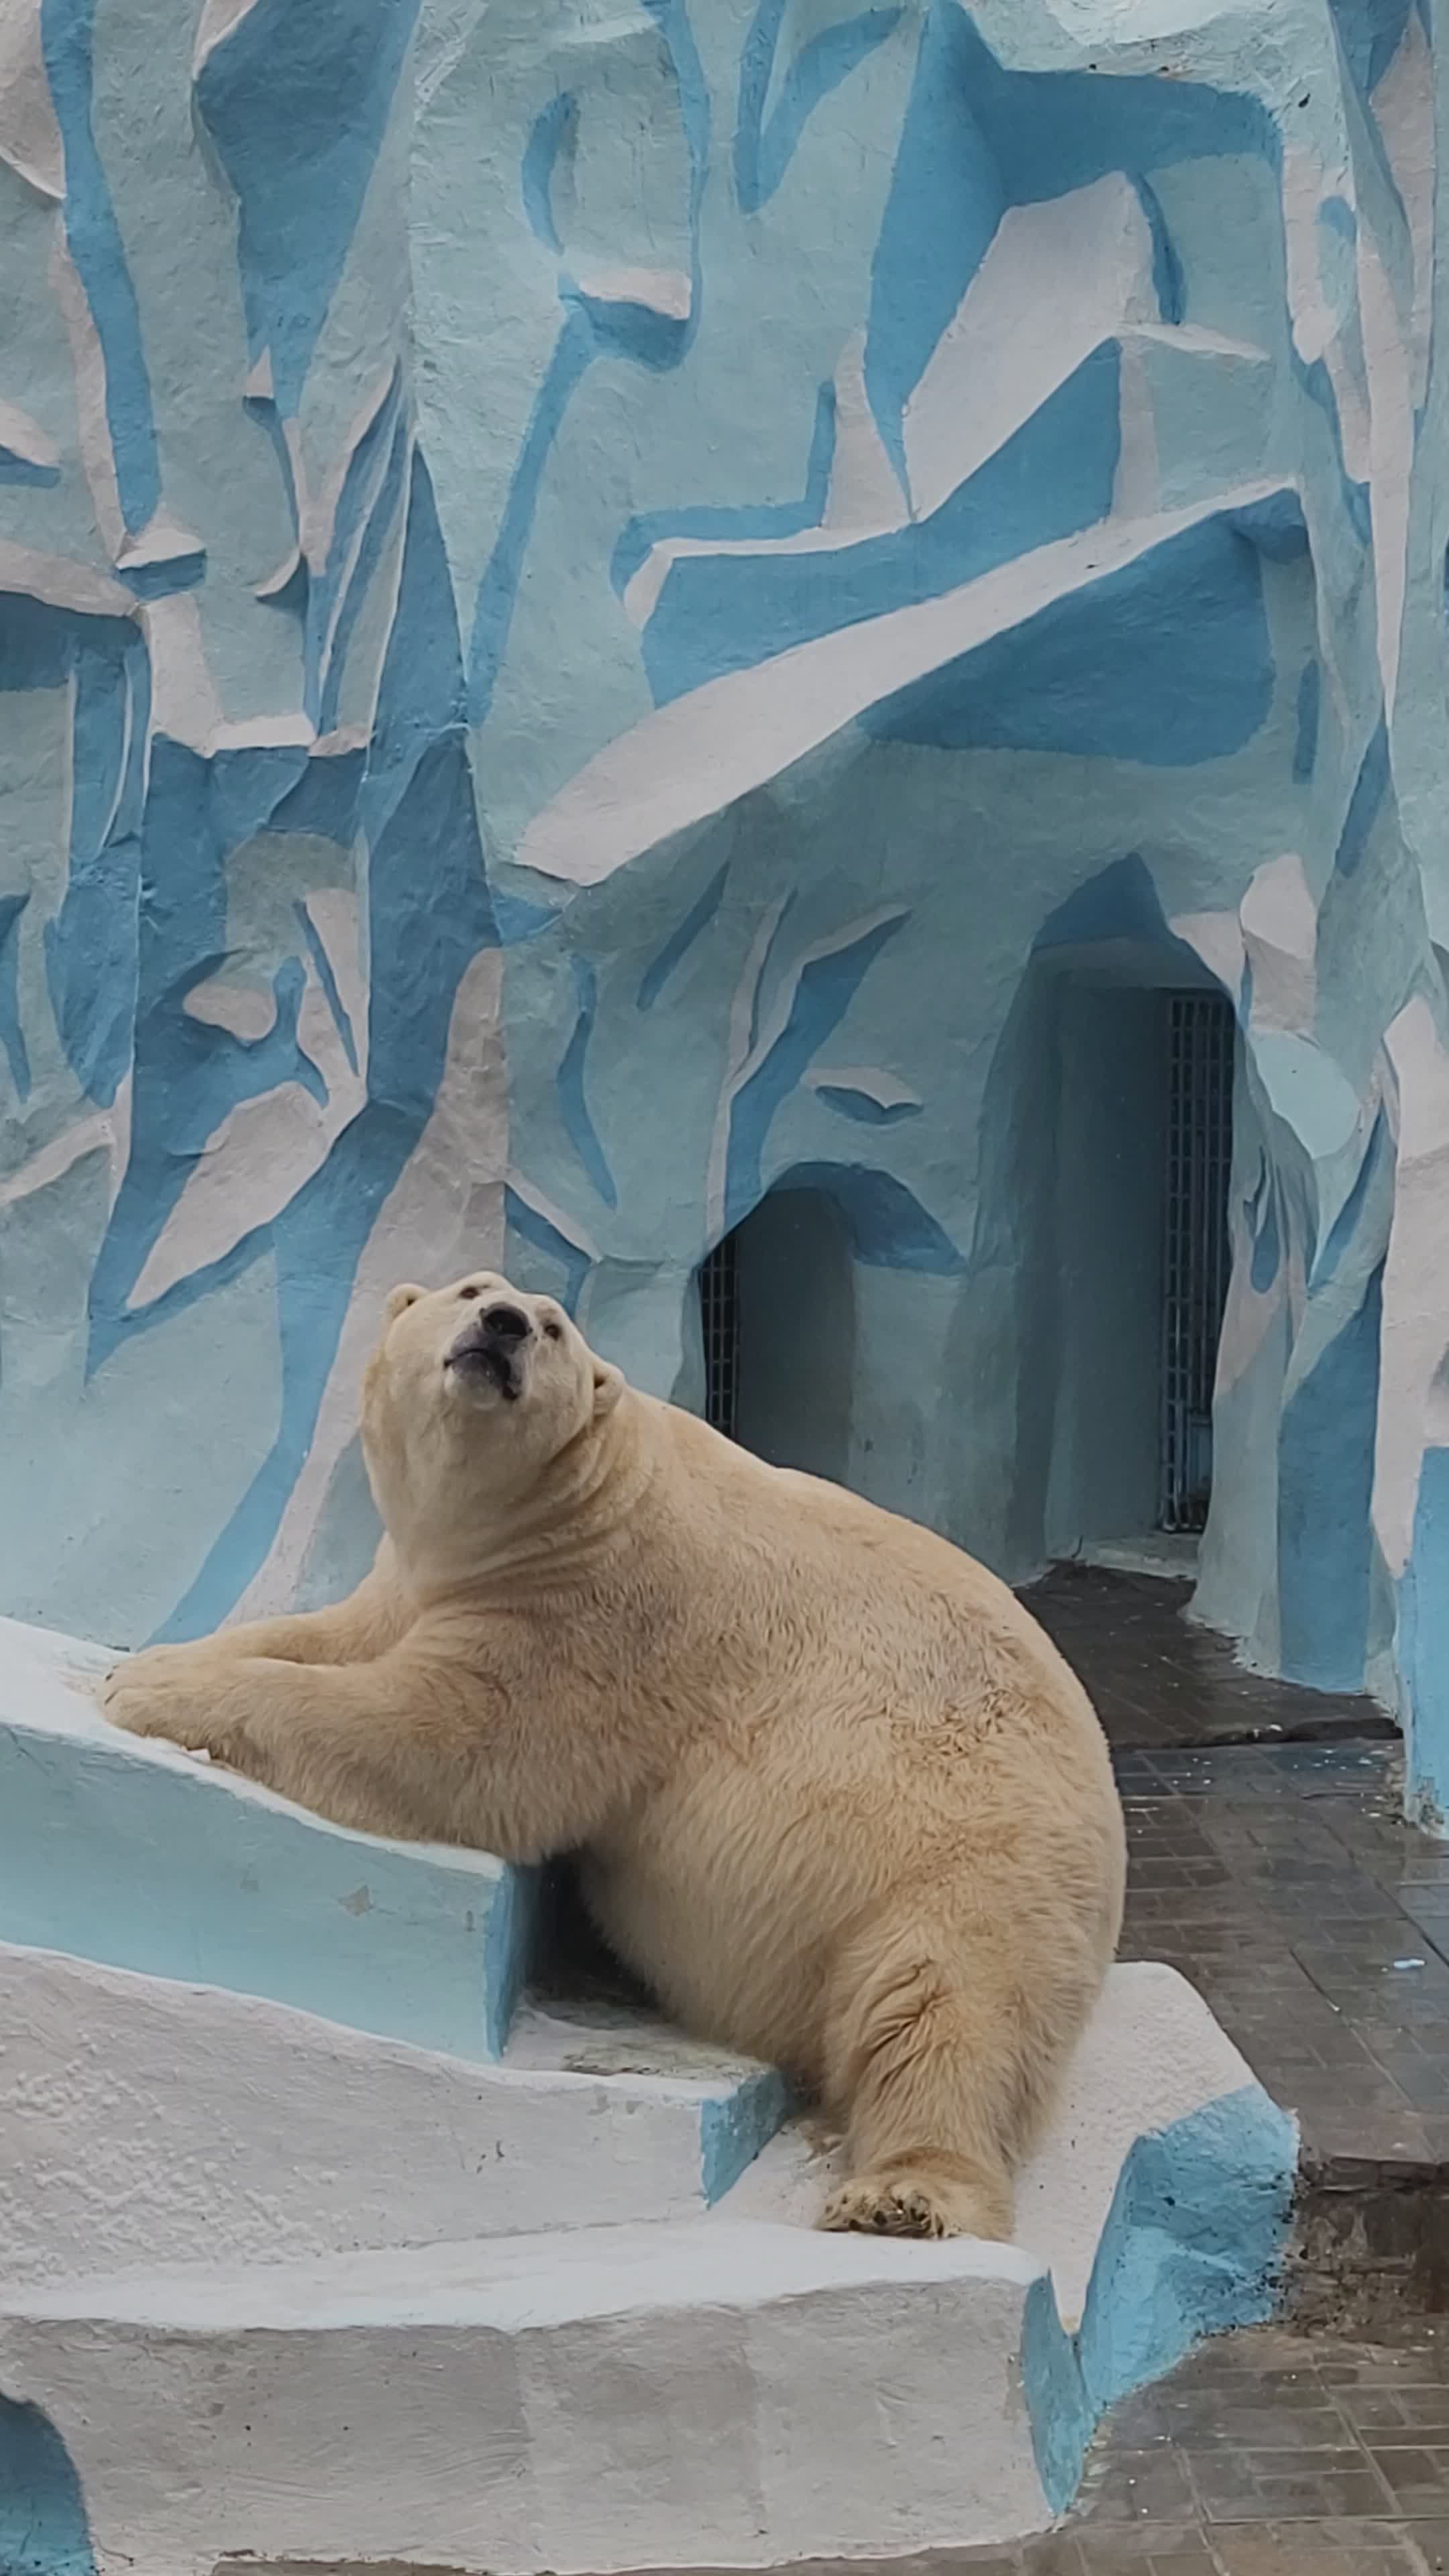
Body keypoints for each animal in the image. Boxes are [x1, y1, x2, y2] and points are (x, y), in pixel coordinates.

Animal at [105, 1271, 1127, 2242]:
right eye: (474, 1289)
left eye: (555, 1327)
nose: (506, 1326)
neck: (572, 1502)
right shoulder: (430, 1580)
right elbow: (335, 1634)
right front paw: (154, 1657)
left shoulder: (597, 1617)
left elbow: (447, 1739)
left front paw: (149, 1692)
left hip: (969, 1863)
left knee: (943, 2010)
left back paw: (905, 2194)